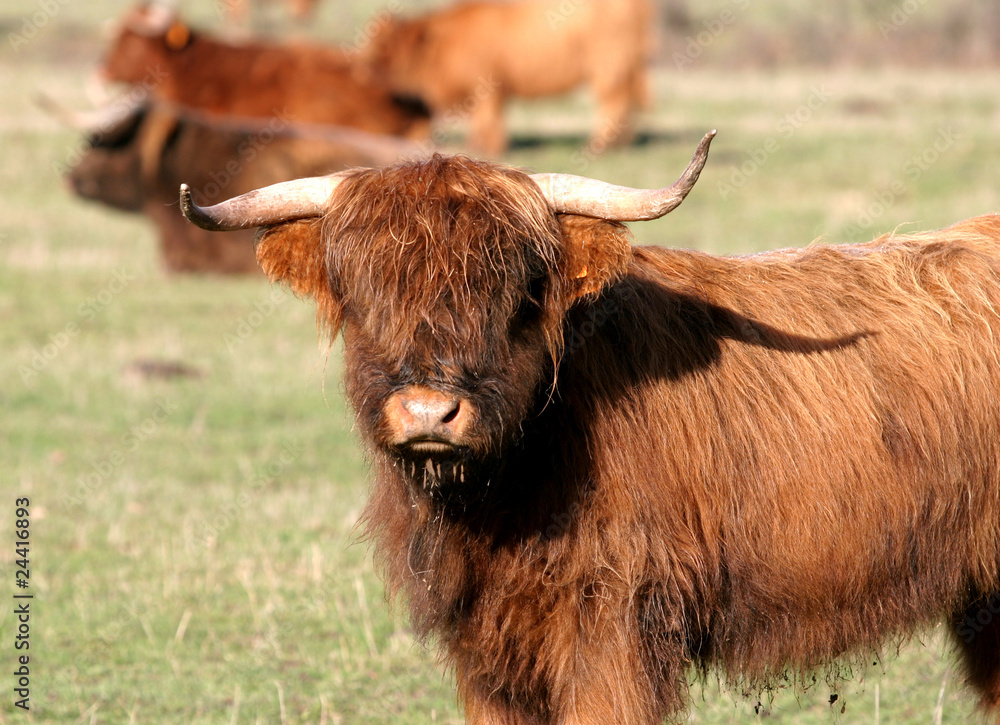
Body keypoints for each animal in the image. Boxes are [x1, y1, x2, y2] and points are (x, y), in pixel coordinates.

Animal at [177, 133, 1000, 723]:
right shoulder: (491, 657)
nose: (428, 412)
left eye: (519, 291)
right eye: (359, 296)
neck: (502, 504)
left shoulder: (612, 636)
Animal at [359, 0, 652, 156]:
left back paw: (600, 145)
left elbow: (488, 120)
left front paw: (488, 148)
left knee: (612, 103)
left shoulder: (486, 88)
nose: (364, 69)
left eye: (385, 48)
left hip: (609, 66)